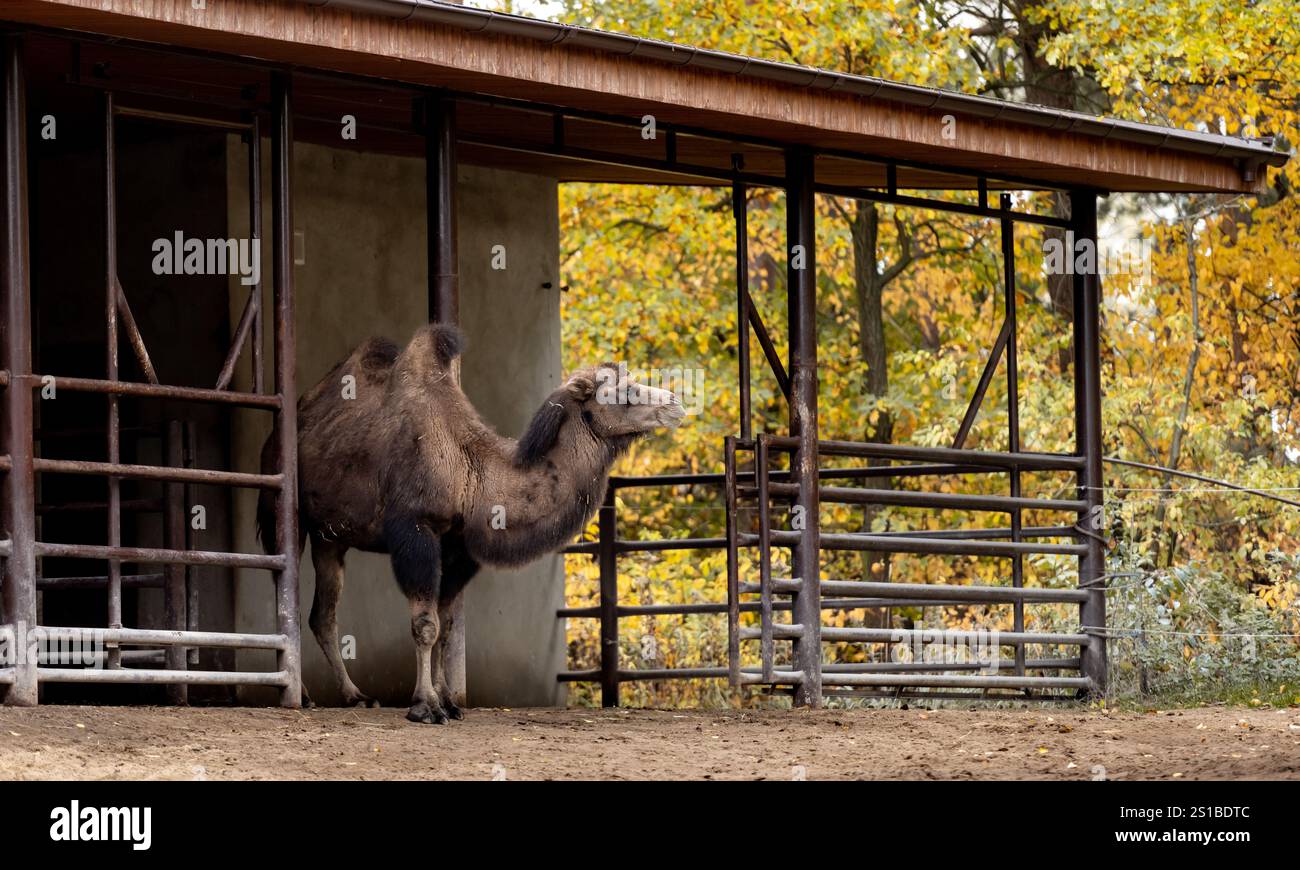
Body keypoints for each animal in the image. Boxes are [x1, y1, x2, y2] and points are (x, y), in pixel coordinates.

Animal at [259, 324, 684, 724]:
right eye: (623, 393)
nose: (676, 403)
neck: (471, 475)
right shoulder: (416, 531)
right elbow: (425, 624)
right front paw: (426, 706)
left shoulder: (459, 548)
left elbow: (447, 628)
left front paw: (449, 701)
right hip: (285, 510)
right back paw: (304, 695)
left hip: (331, 536)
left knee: (324, 614)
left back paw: (356, 696)